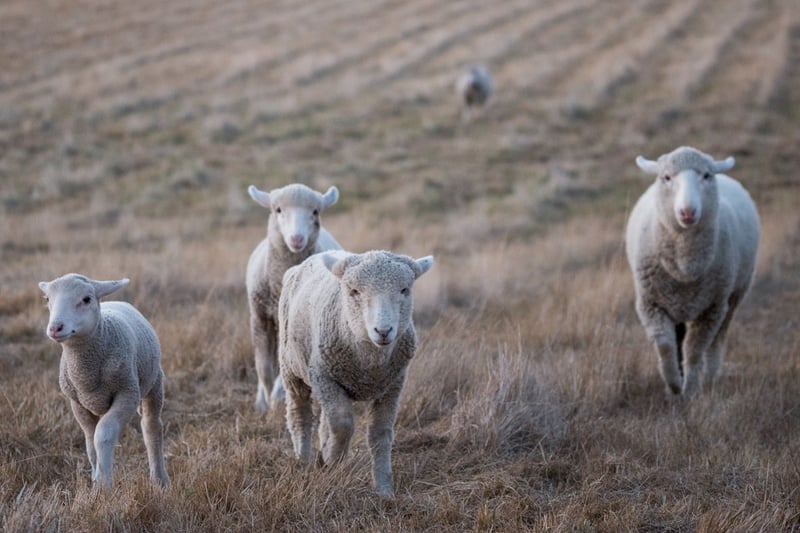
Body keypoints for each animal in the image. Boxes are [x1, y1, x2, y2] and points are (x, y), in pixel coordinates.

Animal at [38, 274, 168, 487]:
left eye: (86, 299)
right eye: (48, 299)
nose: (55, 328)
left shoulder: (127, 393)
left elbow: (103, 435)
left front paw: (104, 485)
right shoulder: (77, 404)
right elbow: (91, 445)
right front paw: (96, 478)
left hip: (154, 383)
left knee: (151, 428)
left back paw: (159, 479)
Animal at [246, 183, 341, 413]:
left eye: (315, 211)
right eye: (278, 210)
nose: (296, 239)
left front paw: (277, 395)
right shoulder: (259, 318)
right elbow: (263, 367)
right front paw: (266, 402)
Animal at [278, 250, 434, 497]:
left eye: (404, 290)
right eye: (354, 291)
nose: (383, 331)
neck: (370, 365)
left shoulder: (392, 387)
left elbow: (380, 434)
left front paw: (384, 489)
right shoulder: (324, 377)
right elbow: (343, 424)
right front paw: (333, 460)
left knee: (325, 419)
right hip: (292, 369)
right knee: (299, 414)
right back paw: (303, 459)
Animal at [625, 146, 760, 397]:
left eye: (706, 176)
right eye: (667, 177)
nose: (687, 212)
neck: (684, 268)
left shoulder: (711, 308)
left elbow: (695, 350)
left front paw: (691, 390)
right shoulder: (650, 304)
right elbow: (665, 347)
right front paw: (673, 385)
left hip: (732, 298)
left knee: (718, 338)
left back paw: (711, 376)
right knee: (678, 338)